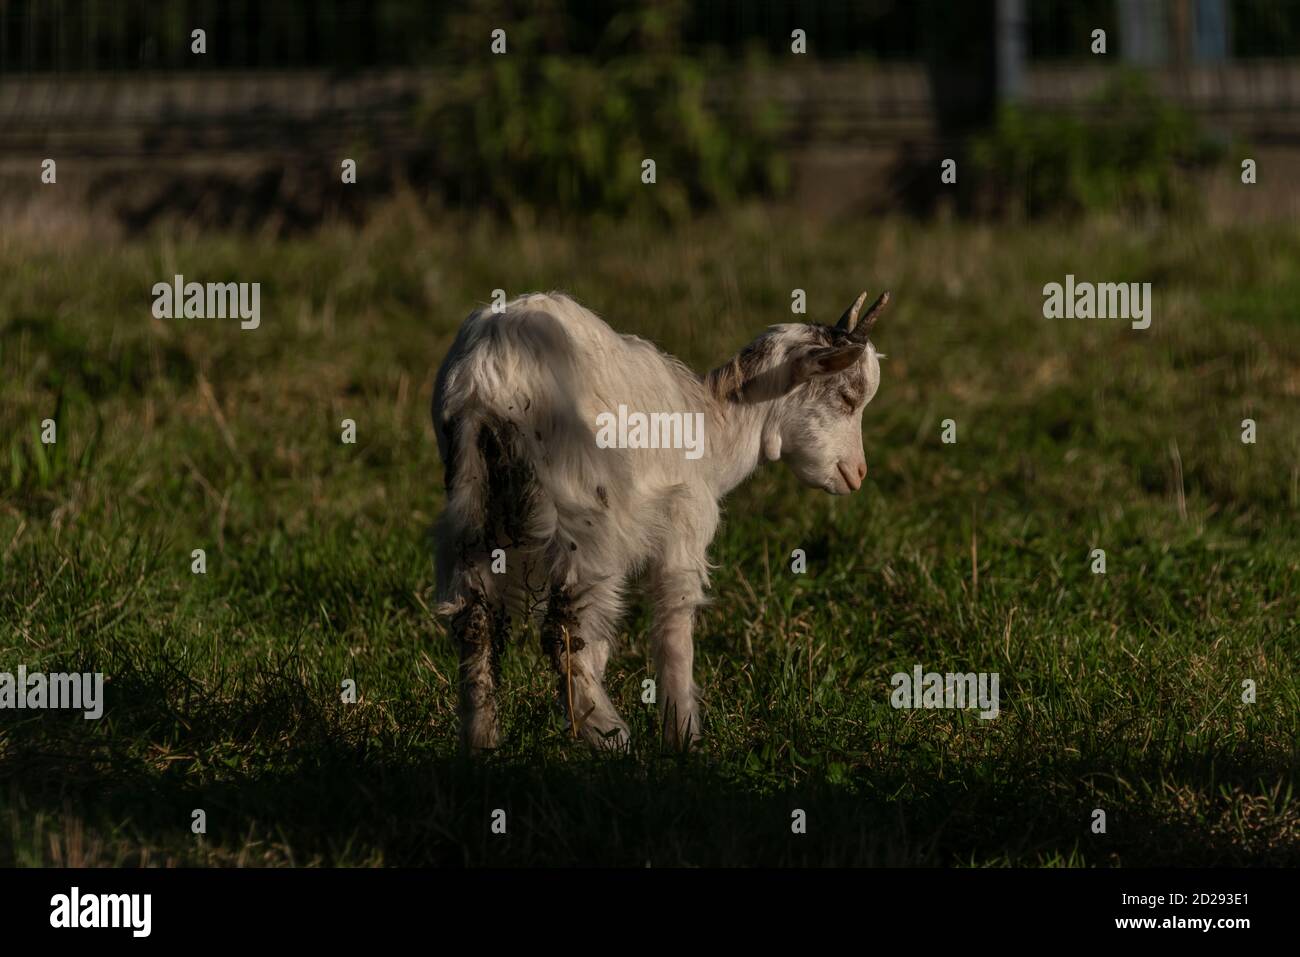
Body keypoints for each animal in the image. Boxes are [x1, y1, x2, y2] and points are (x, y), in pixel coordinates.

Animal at [431, 289, 889, 751]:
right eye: (847, 399)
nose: (858, 473)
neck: (714, 430)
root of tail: (487, 379)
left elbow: (601, 641)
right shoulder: (683, 529)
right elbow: (674, 624)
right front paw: (683, 737)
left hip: (471, 512)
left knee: (475, 619)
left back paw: (483, 740)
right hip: (585, 518)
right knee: (562, 630)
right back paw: (609, 735)